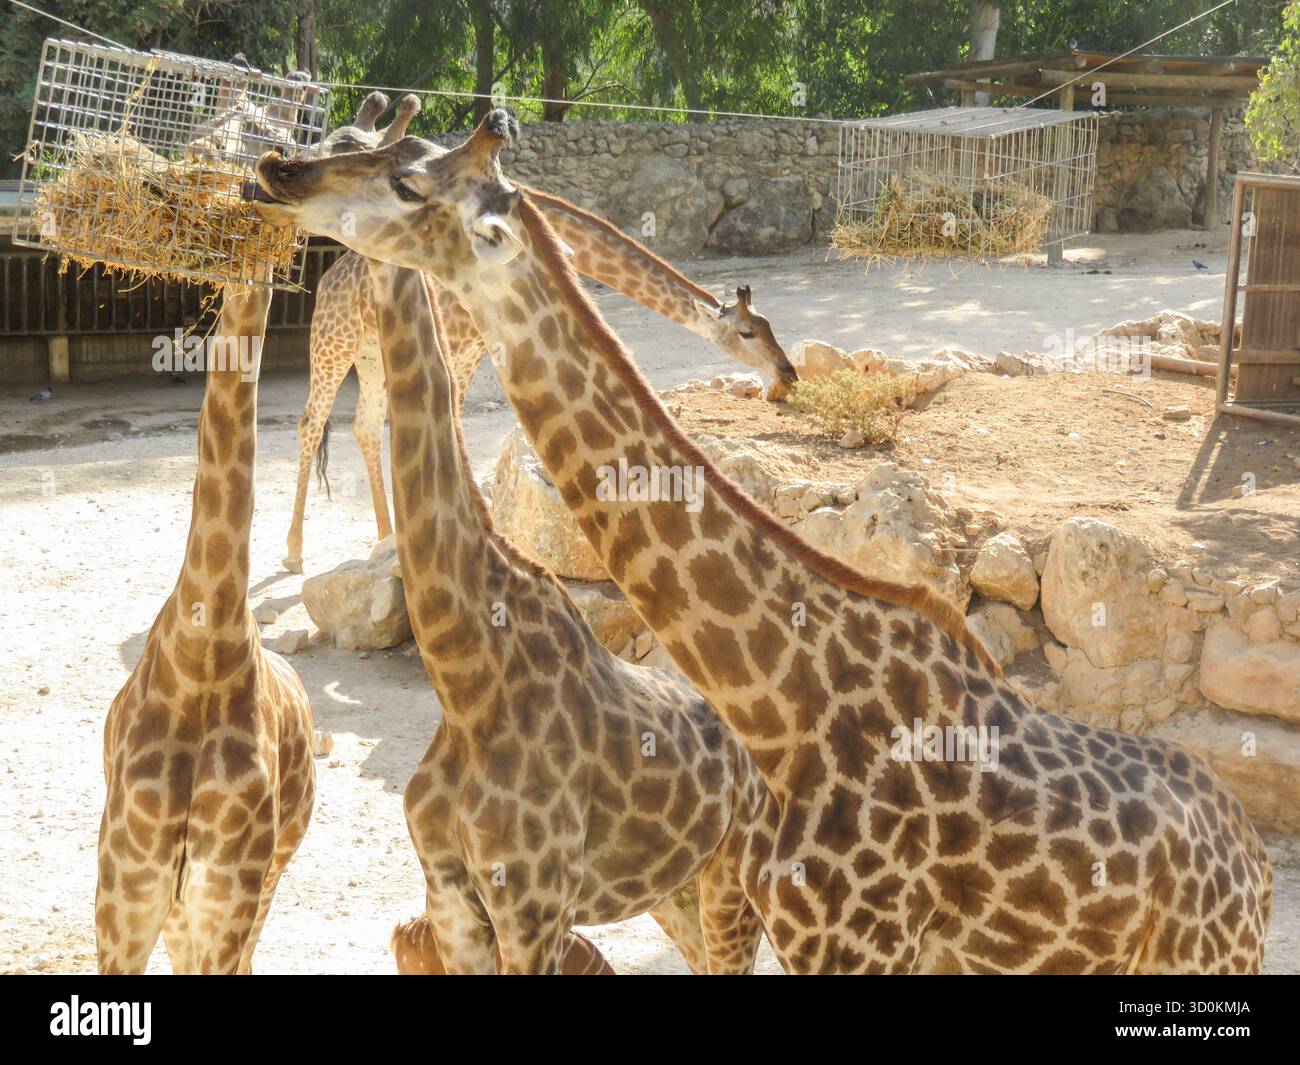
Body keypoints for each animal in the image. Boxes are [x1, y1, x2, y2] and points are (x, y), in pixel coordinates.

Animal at [283, 94, 795, 574]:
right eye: (747, 333)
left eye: (768, 326)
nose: (788, 375)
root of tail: (327, 281)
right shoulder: (461, 336)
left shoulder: (476, 342)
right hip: (332, 344)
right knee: (312, 419)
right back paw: (294, 553)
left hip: (368, 354)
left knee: (364, 423)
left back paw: (384, 535)